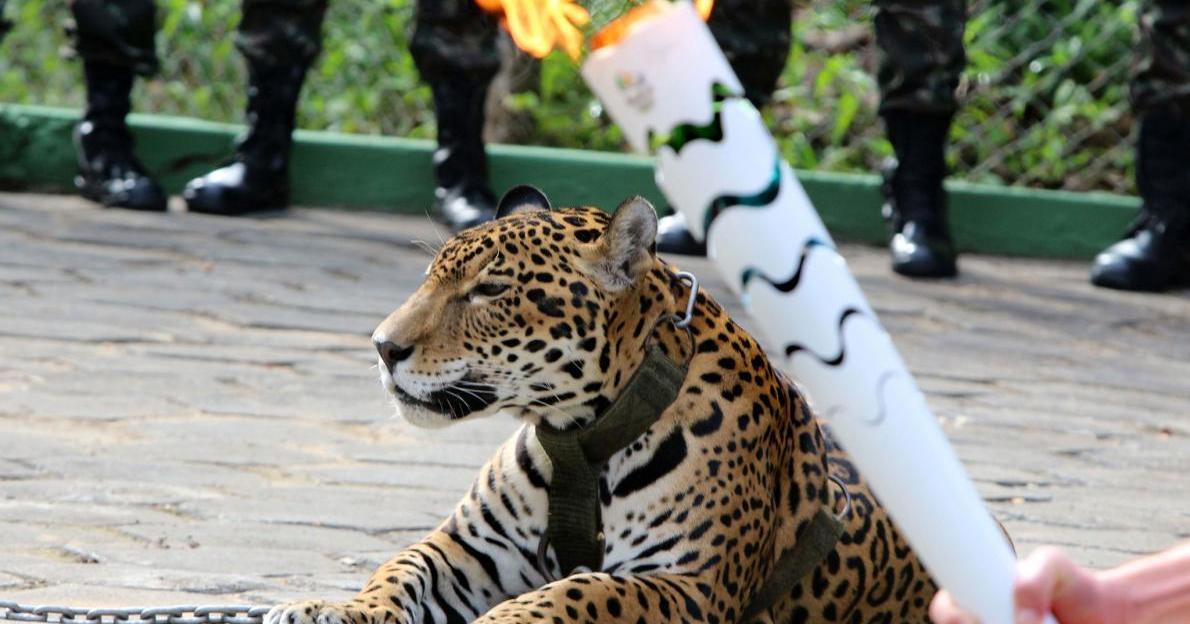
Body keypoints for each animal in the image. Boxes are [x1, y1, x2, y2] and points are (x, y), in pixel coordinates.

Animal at [266, 186, 938, 624]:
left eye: (490, 290)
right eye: (430, 276)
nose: (383, 347)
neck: (579, 435)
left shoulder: (687, 583)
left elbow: (577, 591)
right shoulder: (473, 547)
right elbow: (400, 569)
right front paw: (329, 607)